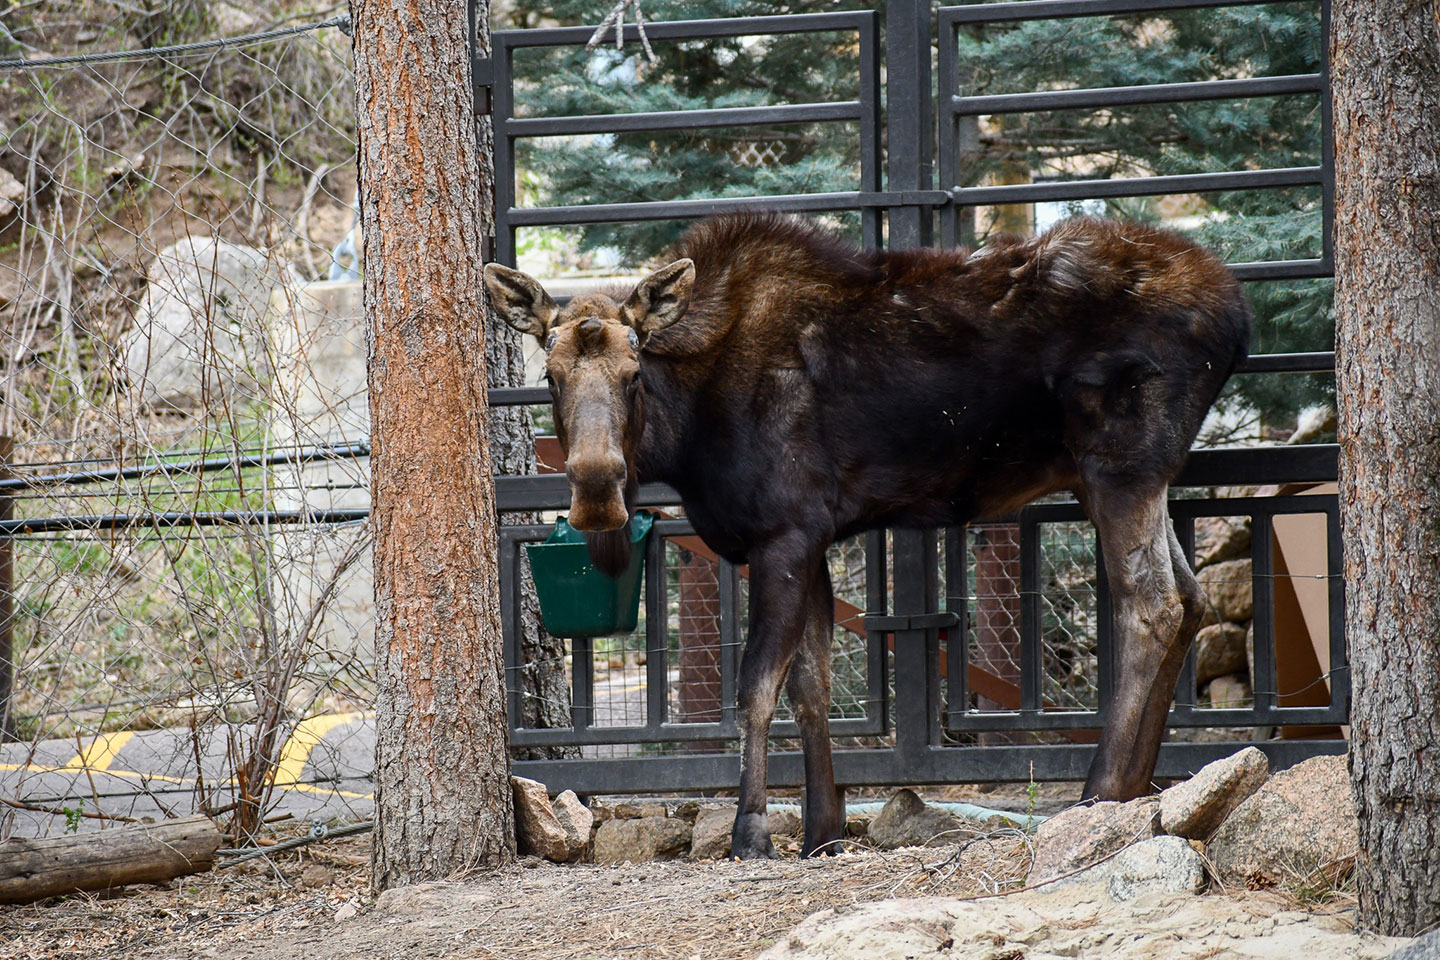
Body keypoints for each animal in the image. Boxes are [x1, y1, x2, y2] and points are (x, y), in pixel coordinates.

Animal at [484, 213, 1250, 860]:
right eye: (550, 374)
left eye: (635, 371)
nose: (595, 491)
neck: (688, 436)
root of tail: (1237, 316)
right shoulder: (813, 539)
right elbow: (811, 686)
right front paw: (822, 830)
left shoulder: (783, 534)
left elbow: (756, 686)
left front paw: (752, 831)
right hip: (1135, 475)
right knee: (1191, 599)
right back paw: (1139, 786)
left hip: (1120, 465)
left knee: (1151, 606)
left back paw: (1098, 791)